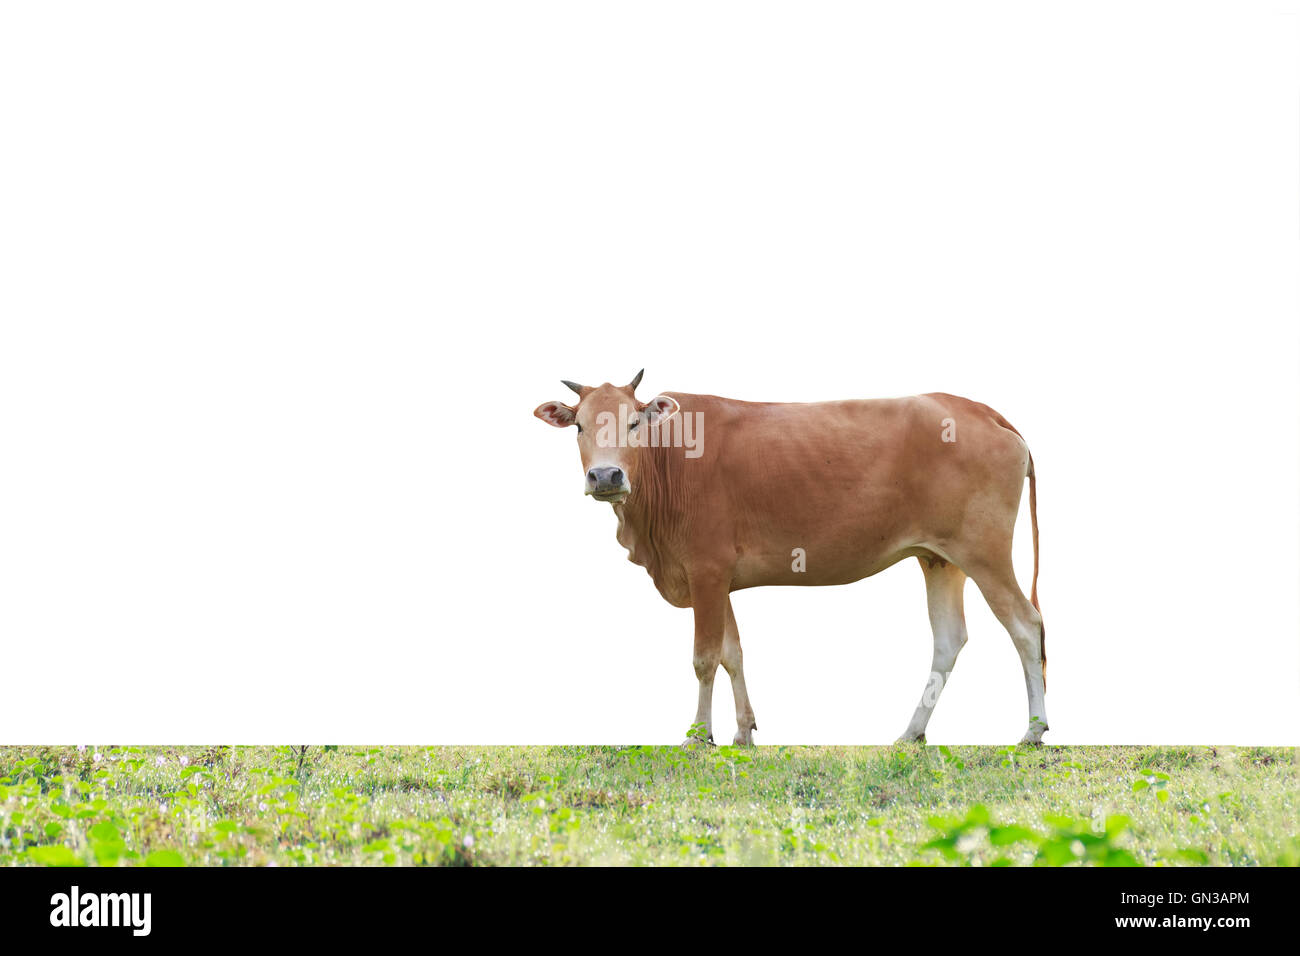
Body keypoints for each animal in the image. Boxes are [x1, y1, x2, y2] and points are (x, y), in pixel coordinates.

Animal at [534, 370, 1047, 746]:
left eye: (634, 423)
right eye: (579, 426)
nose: (606, 476)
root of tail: (979, 408)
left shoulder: (706, 569)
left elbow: (704, 658)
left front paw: (698, 738)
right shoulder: (719, 579)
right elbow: (732, 653)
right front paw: (743, 733)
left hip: (985, 552)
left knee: (1026, 624)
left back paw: (1034, 730)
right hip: (940, 558)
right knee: (949, 639)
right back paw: (910, 734)